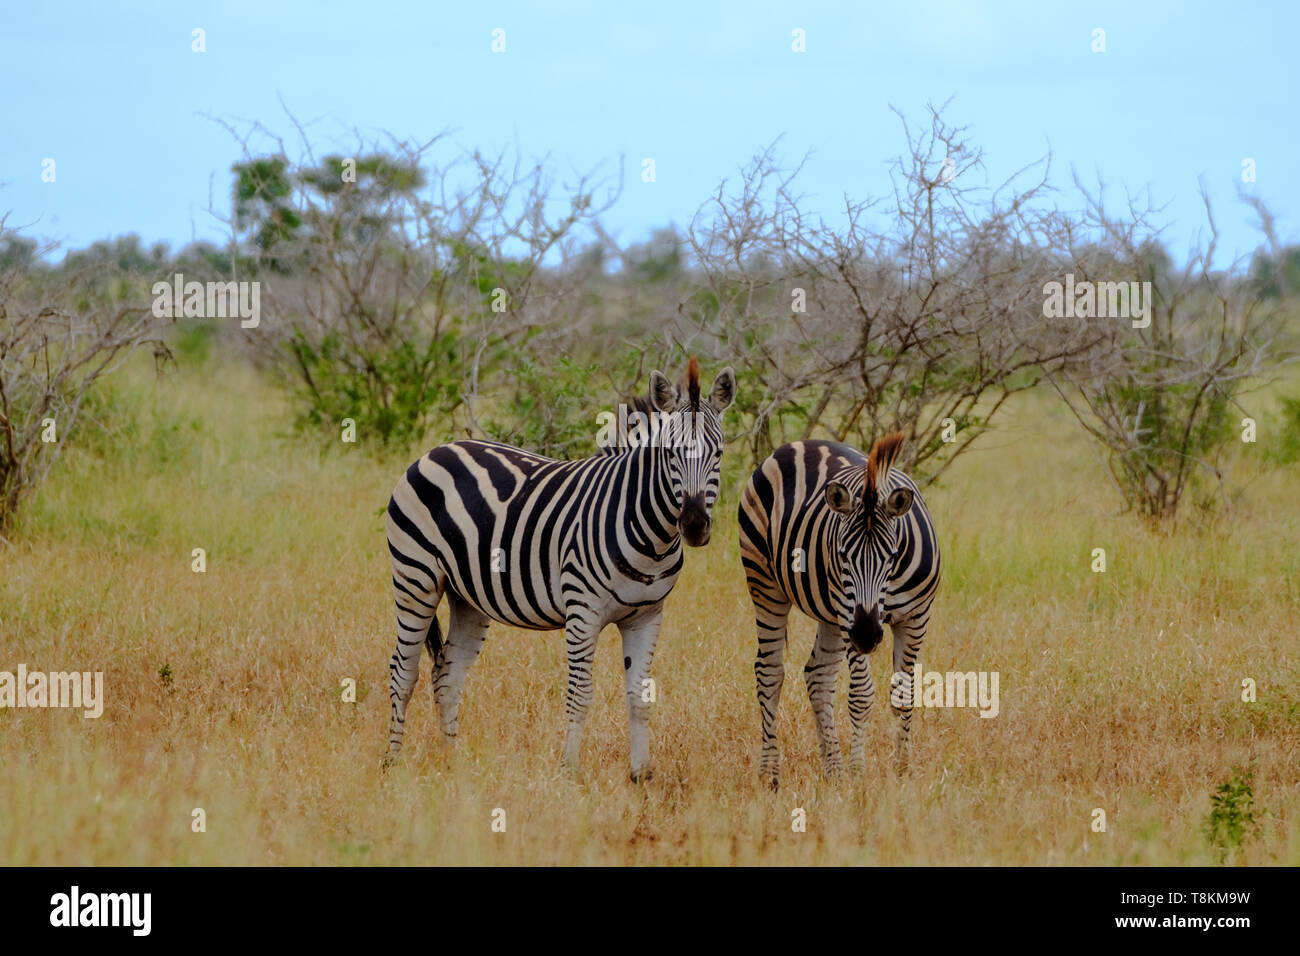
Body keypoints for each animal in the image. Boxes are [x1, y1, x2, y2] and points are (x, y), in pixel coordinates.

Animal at [384, 359, 736, 781]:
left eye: (718, 453)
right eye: (670, 453)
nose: (695, 525)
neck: (651, 537)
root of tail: (438, 450)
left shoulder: (647, 615)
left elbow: (639, 696)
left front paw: (640, 775)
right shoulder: (583, 613)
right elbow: (580, 694)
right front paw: (569, 771)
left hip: (467, 596)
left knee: (447, 677)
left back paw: (450, 763)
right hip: (415, 578)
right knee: (403, 673)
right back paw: (393, 763)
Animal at [737, 433, 940, 788]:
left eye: (892, 555)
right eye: (843, 554)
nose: (868, 635)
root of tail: (797, 443)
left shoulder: (916, 617)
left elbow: (905, 693)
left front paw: (901, 772)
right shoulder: (850, 615)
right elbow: (861, 695)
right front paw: (858, 775)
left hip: (831, 613)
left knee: (817, 675)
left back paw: (832, 770)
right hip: (765, 581)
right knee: (769, 671)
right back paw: (770, 773)